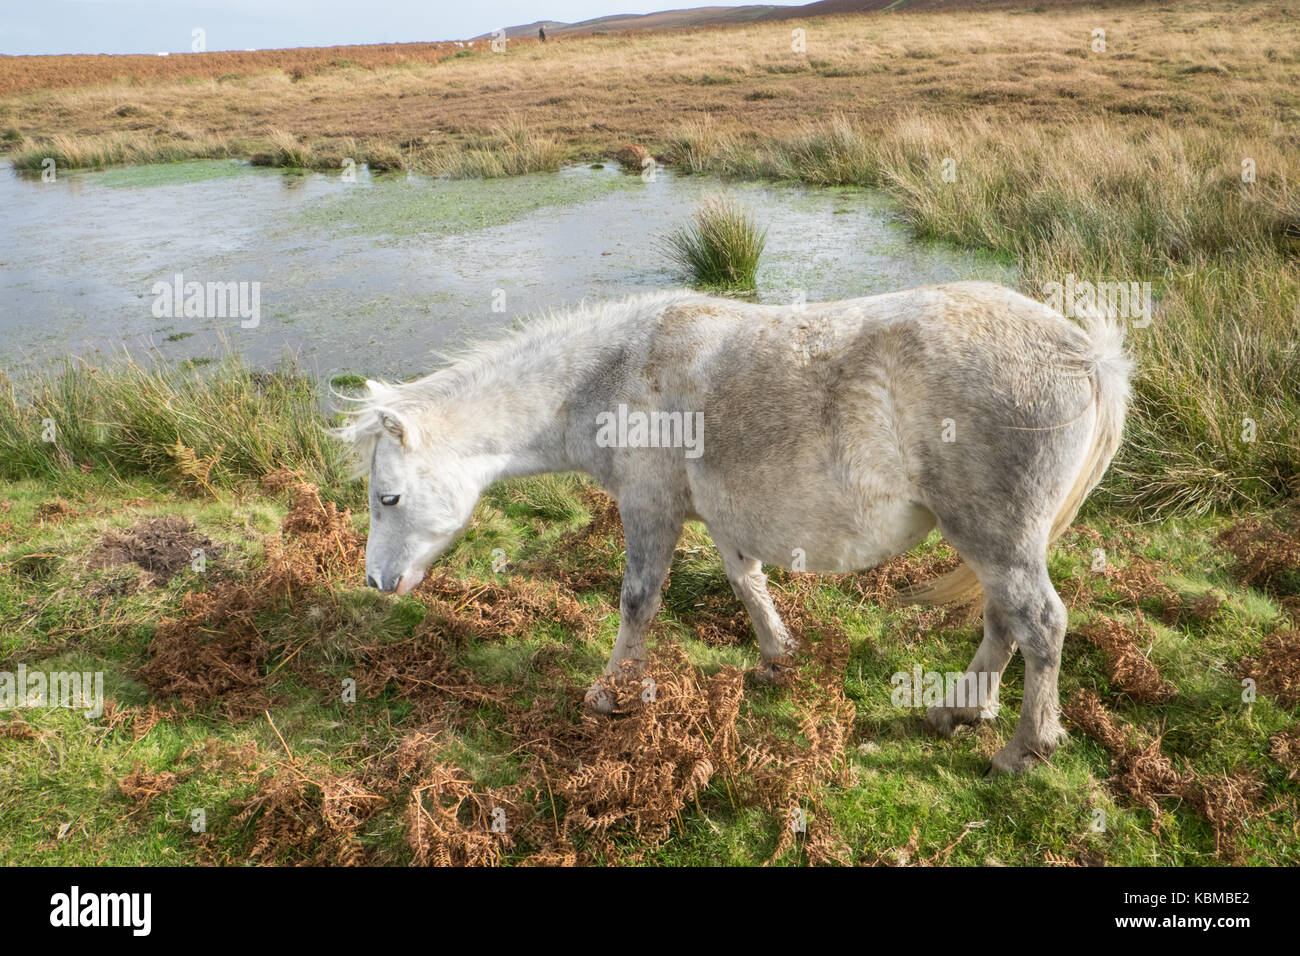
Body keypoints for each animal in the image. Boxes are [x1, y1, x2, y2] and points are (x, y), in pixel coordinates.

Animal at [336, 281, 1132, 773]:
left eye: (388, 498)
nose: (376, 582)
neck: (613, 375)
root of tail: (1083, 354)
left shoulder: (650, 510)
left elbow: (638, 602)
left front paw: (608, 693)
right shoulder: (717, 514)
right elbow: (746, 581)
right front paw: (777, 657)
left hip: (995, 538)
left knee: (1039, 626)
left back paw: (1024, 749)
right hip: (994, 543)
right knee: (1004, 623)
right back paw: (959, 712)